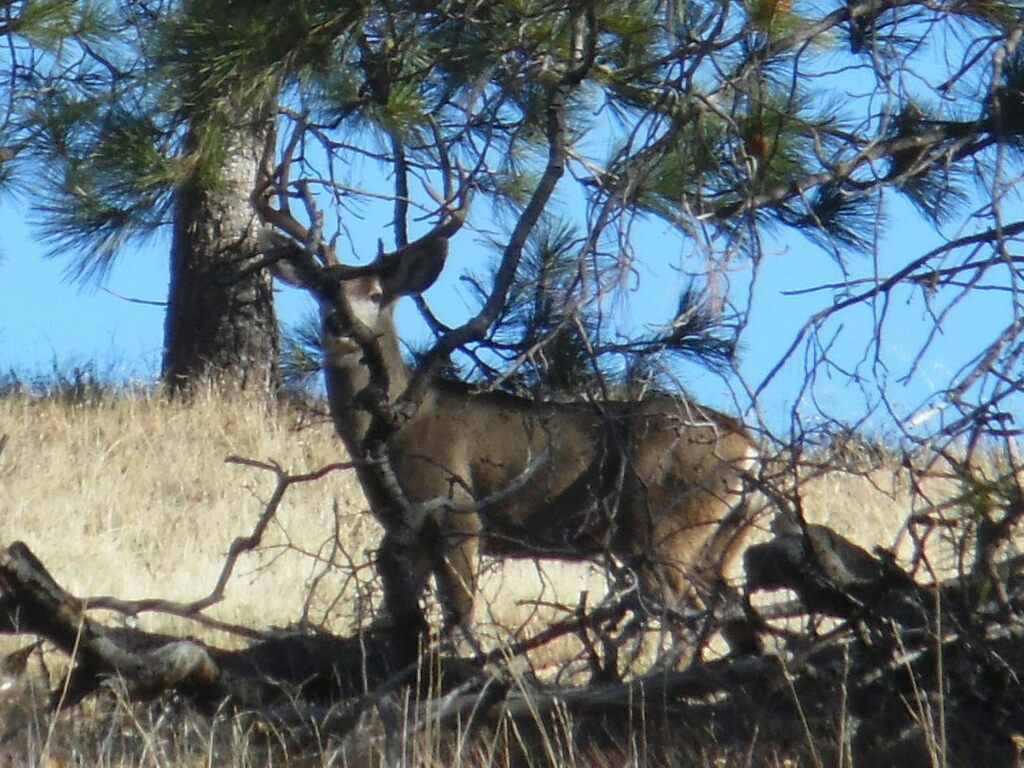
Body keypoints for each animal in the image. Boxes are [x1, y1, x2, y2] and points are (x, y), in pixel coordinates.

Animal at [257, 180, 760, 646]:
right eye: (322, 291)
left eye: (378, 292)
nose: (338, 326)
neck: (402, 423)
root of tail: (752, 450)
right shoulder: (406, 532)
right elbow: (405, 612)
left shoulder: (456, 511)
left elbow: (460, 612)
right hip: (718, 543)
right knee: (734, 618)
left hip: (665, 524)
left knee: (683, 619)